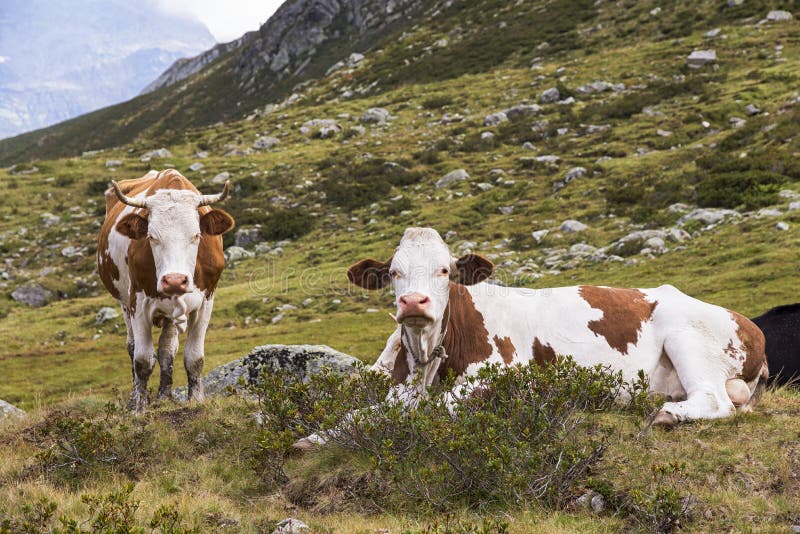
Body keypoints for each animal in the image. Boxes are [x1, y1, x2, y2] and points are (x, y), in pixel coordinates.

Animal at [97, 169, 235, 411]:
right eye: (152, 237)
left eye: (196, 235)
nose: (174, 281)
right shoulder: (138, 303)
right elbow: (142, 360)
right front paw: (140, 407)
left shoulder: (206, 301)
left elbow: (194, 357)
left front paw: (195, 399)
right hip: (124, 303)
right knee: (132, 347)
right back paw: (135, 397)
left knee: (166, 350)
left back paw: (164, 396)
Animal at [295, 227, 767, 448]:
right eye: (393, 272)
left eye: (444, 270)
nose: (414, 301)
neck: (427, 363)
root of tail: (749, 324)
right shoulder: (398, 388)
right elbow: (359, 414)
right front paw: (315, 437)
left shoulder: (496, 376)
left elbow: (429, 412)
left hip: (688, 338)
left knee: (715, 401)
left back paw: (666, 415)